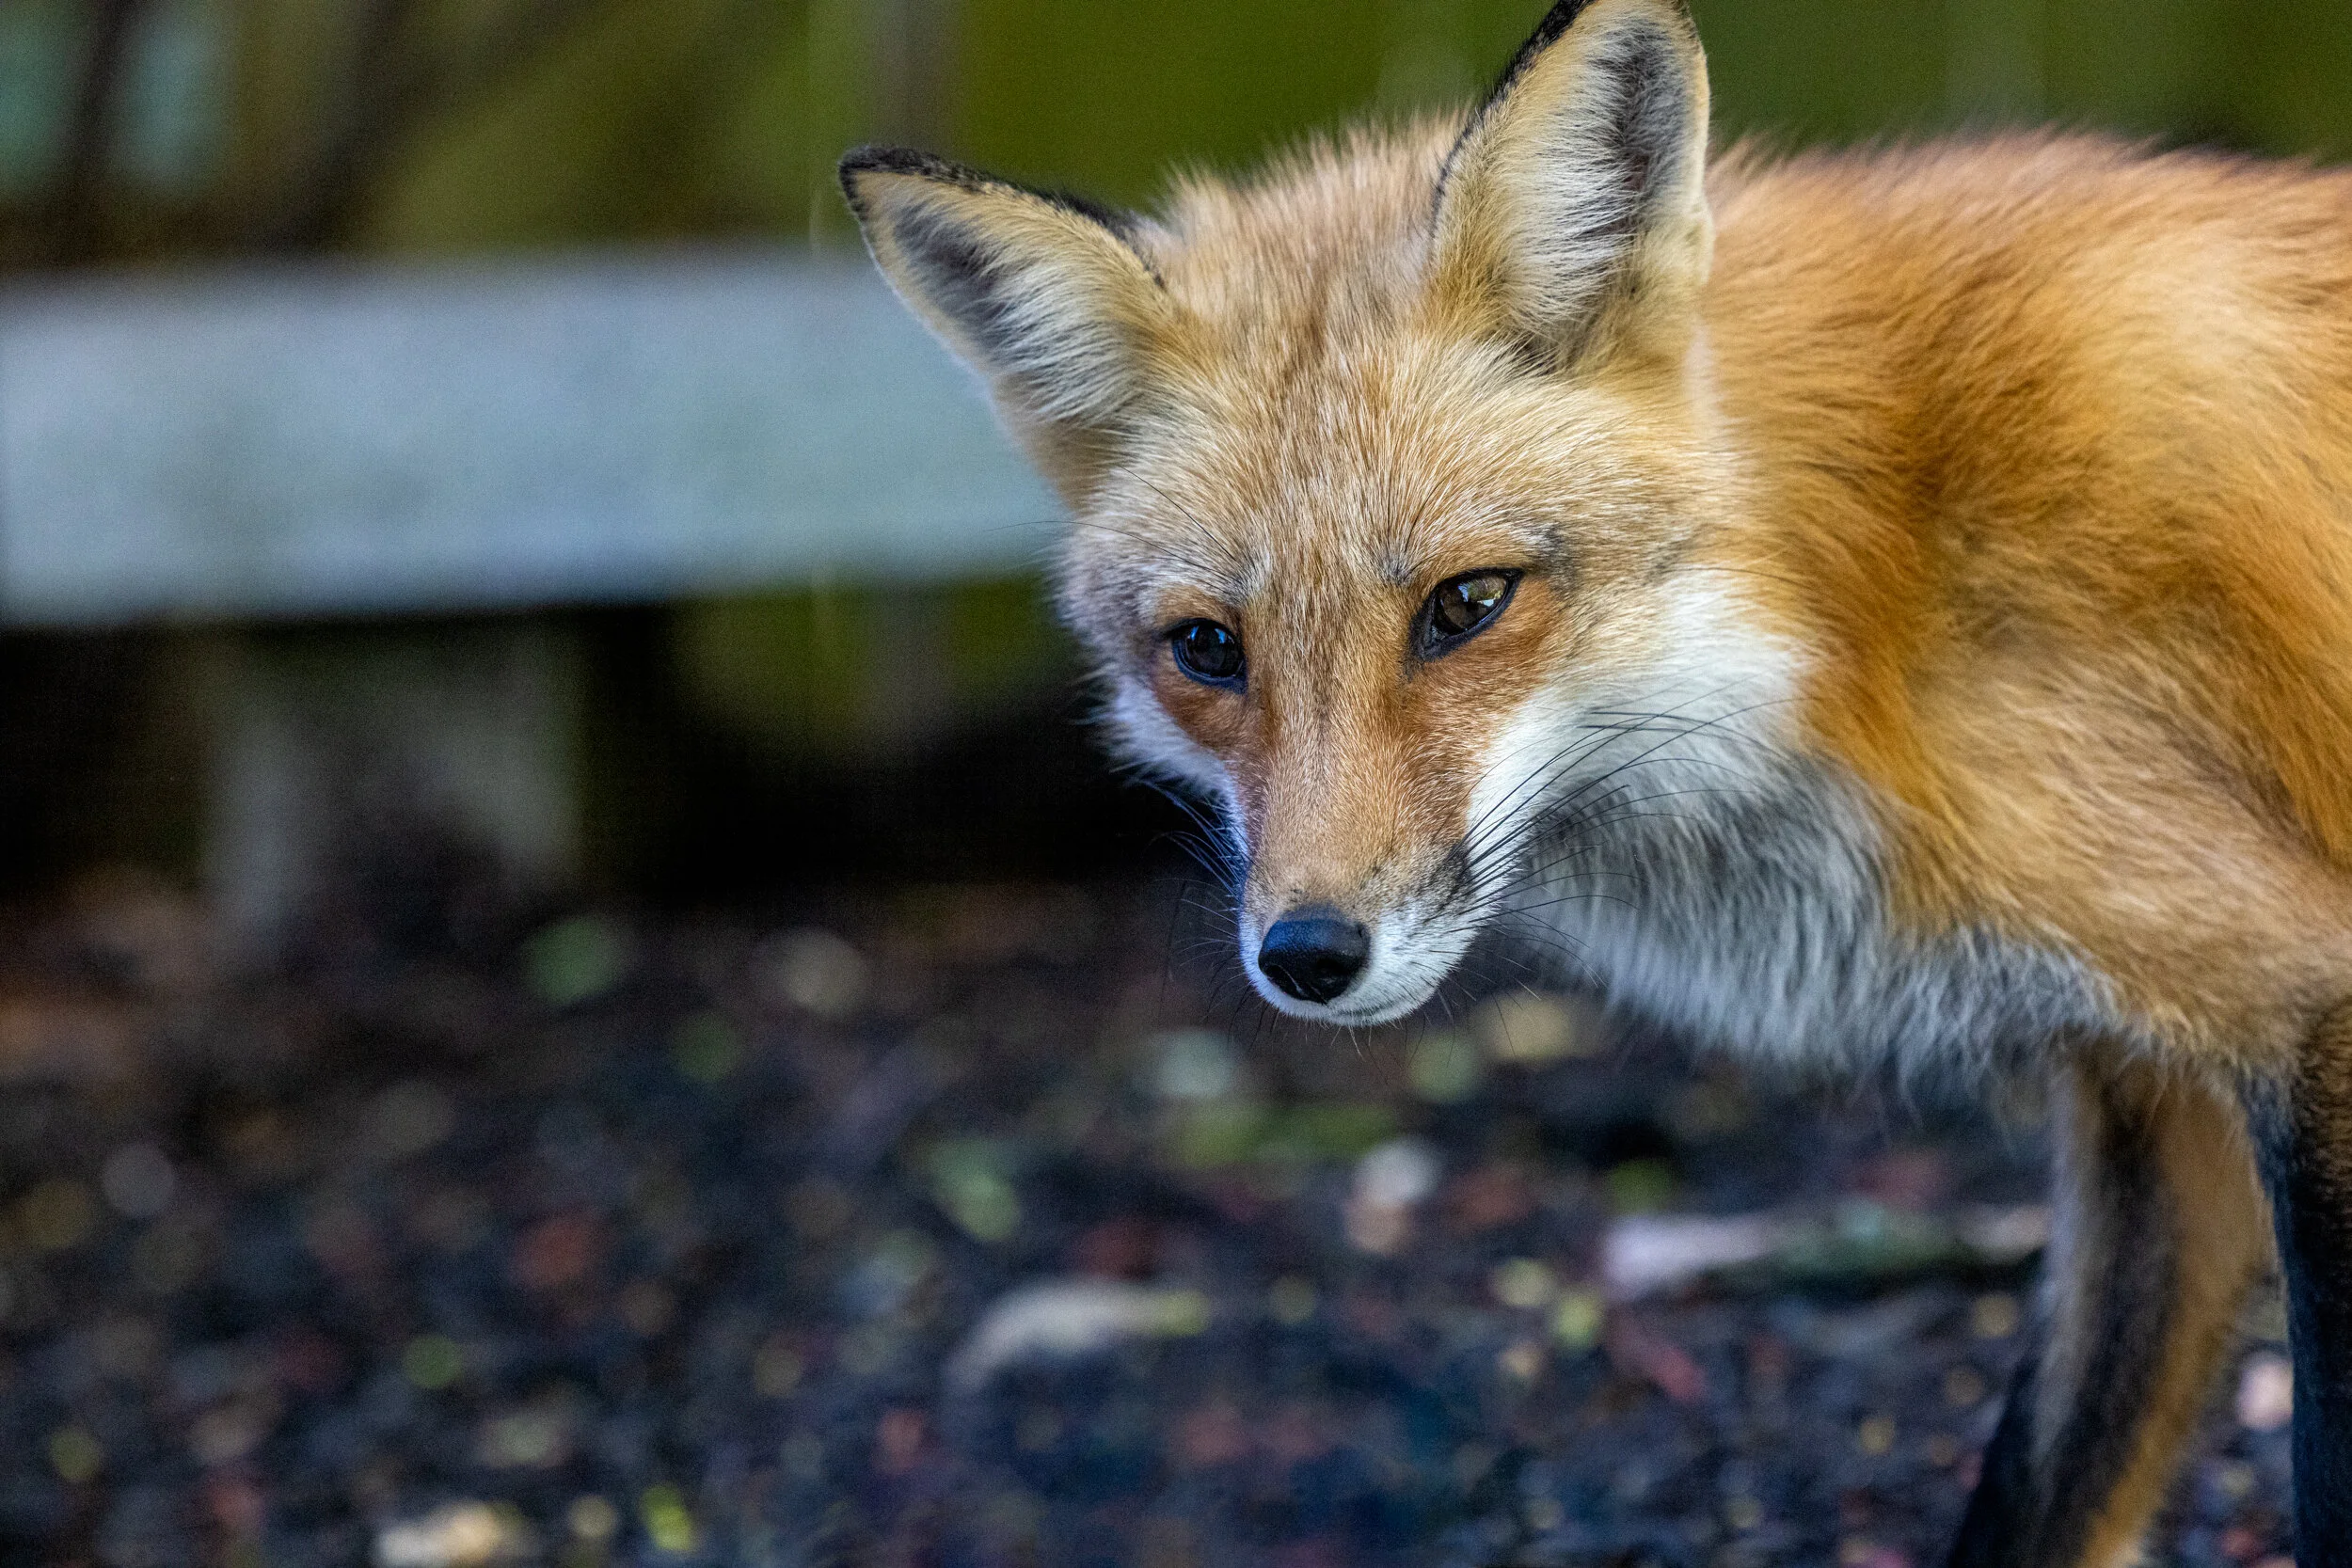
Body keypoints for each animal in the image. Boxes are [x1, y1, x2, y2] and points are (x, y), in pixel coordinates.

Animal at [839, 0, 2352, 1562]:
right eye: (1208, 647)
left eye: (1466, 602)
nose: (1308, 953)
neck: (1880, 590)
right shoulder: (2151, 1091)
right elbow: (2041, 1492)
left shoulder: (2297, 991)